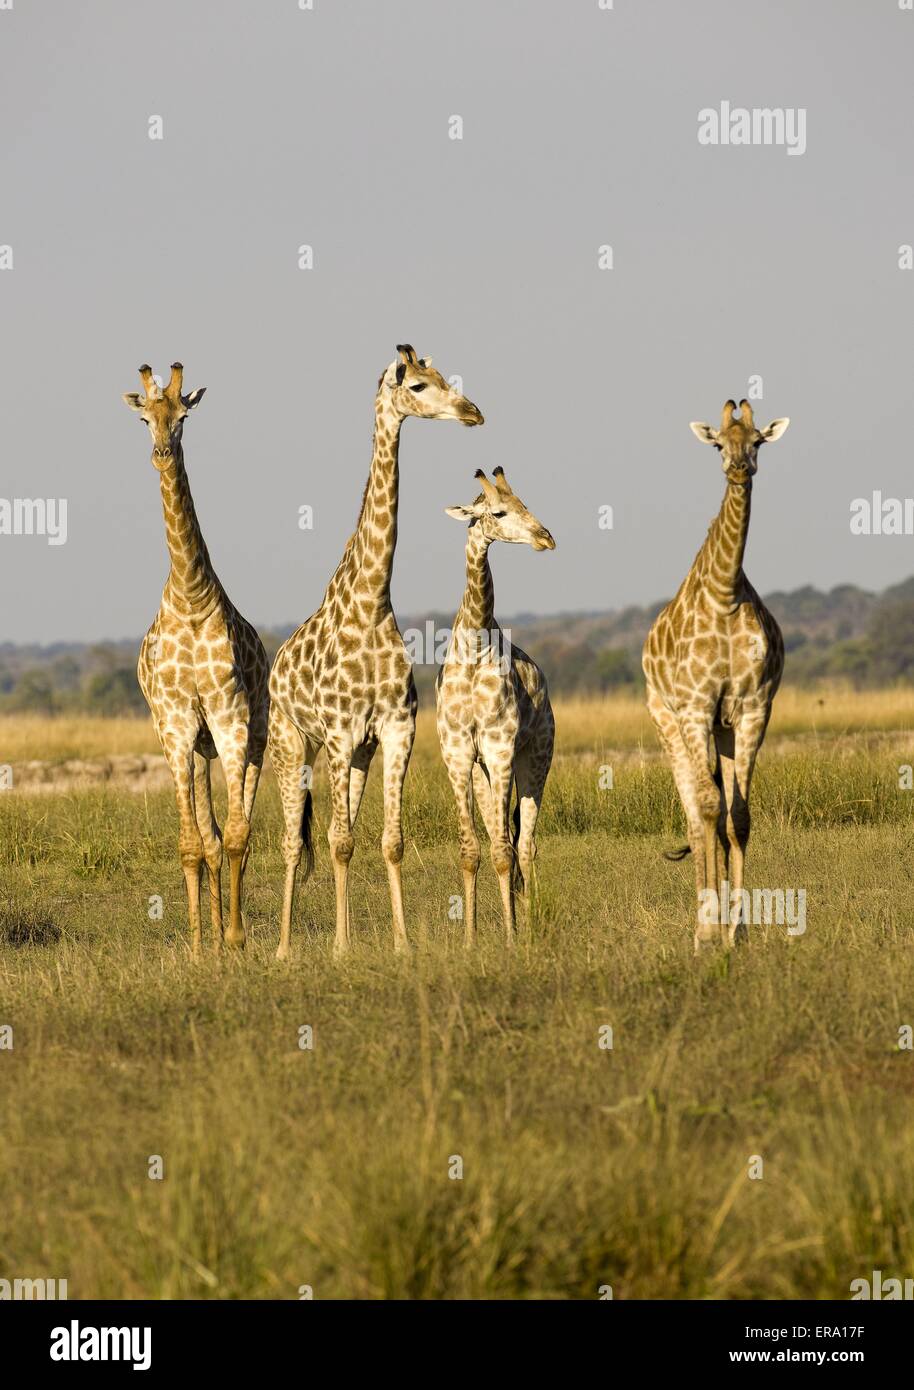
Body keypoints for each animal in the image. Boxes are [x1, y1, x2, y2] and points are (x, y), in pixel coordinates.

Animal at [269, 344, 484, 959]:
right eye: (417, 385)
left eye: (444, 376)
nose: (472, 412)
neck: (369, 603)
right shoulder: (340, 734)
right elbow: (340, 843)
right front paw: (342, 948)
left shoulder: (393, 729)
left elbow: (388, 841)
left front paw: (402, 943)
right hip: (293, 744)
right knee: (294, 842)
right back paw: (284, 948)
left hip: (357, 755)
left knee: (336, 833)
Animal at [642, 399, 790, 949]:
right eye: (718, 444)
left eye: (758, 440)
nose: (739, 468)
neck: (725, 595)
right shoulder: (695, 706)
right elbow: (707, 810)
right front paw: (709, 931)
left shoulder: (752, 708)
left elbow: (738, 817)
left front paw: (738, 928)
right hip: (668, 722)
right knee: (694, 814)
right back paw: (702, 922)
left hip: (722, 730)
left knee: (722, 812)